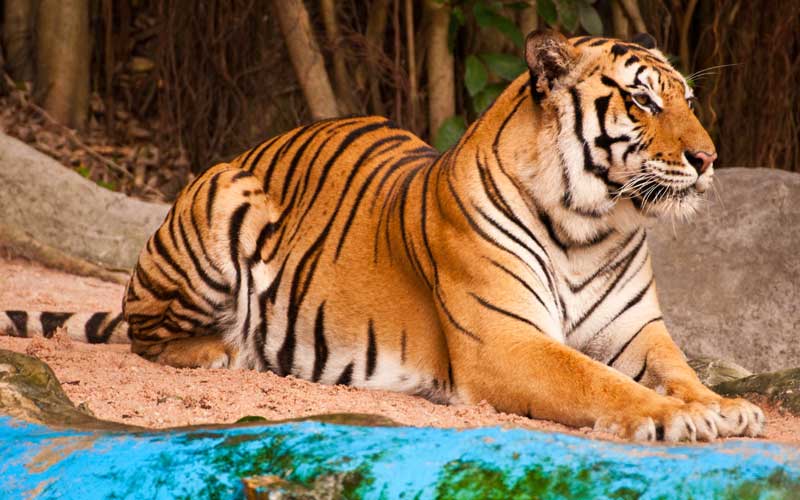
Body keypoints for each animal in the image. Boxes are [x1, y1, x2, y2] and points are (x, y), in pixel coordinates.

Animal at [1, 30, 764, 442]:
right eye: (641, 99)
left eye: (687, 99)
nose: (709, 158)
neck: (593, 224)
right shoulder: (508, 343)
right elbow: (596, 382)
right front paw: (678, 419)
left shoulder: (639, 335)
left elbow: (680, 372)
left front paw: (727, 407)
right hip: (221, 200)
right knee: (146, 334)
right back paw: (225, 349)